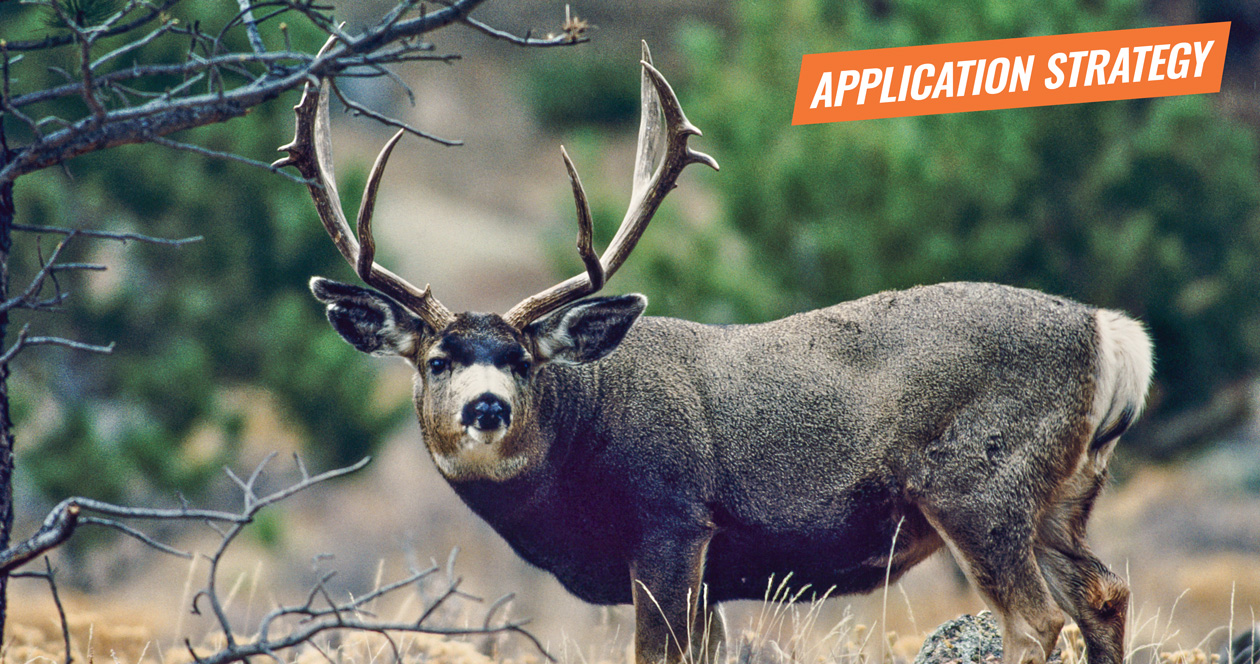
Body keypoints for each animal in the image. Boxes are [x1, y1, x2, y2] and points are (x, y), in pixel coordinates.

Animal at [275, 42, 1153, 664]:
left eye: (526, 362)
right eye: (436, 361)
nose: (487, 406)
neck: (576, 456)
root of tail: (1110, 332)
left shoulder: (674, 522)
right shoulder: (715, 575)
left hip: (977, 483)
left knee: (1037, 620)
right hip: (1063, 492)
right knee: (1105, 592)